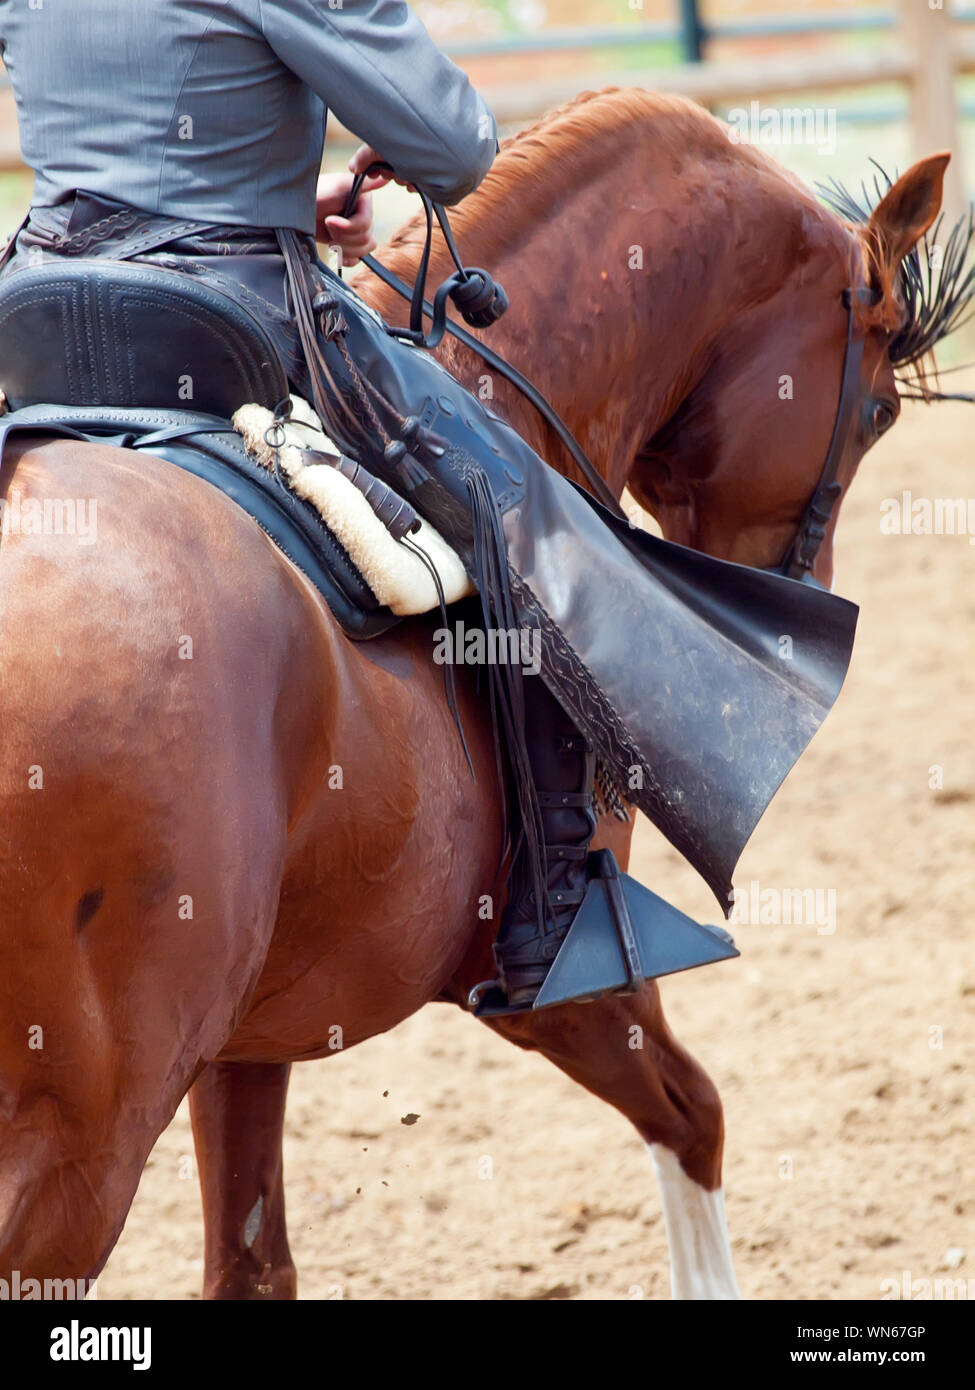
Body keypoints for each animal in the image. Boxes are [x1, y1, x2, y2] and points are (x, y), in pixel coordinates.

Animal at [0, 89, 952, 1300]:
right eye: (876, 412)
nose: (800, 596)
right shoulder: (577, 977)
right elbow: (694, 1113)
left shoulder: (240, 1038)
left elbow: (252, 1262)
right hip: (80, 1138)